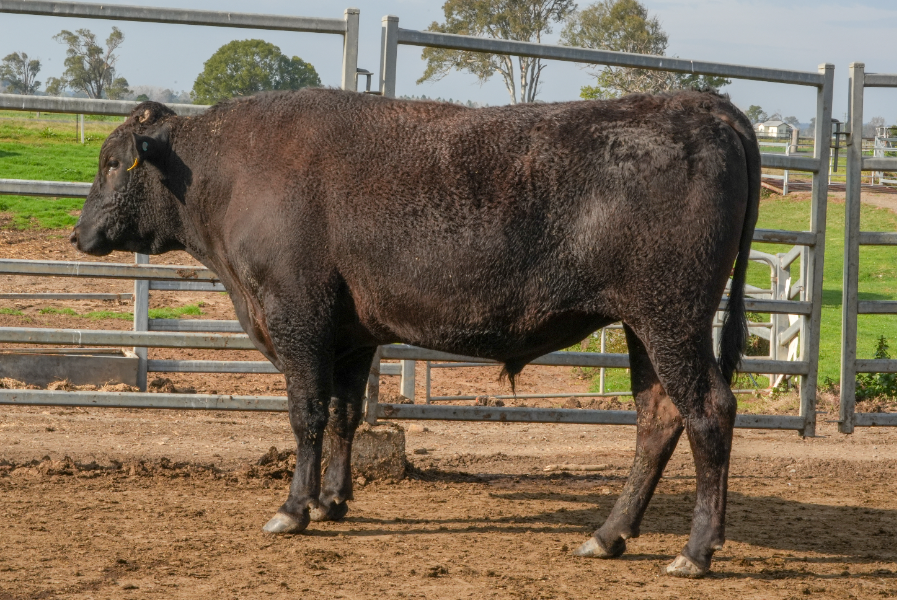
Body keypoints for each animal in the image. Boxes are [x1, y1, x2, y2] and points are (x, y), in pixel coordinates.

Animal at [70, 88, 759, 578]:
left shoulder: (296, 319)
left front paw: (293, 510)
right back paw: (607, 535)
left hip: (670, 317)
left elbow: (306, 413)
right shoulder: (350, 336)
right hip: (645, 326)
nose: (79, 234)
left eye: (111, 164)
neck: (233, 172)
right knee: (658, 418)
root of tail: (702, 104)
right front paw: (333, 501)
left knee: (708, 410)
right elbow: (345, 413)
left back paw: (695, 551)